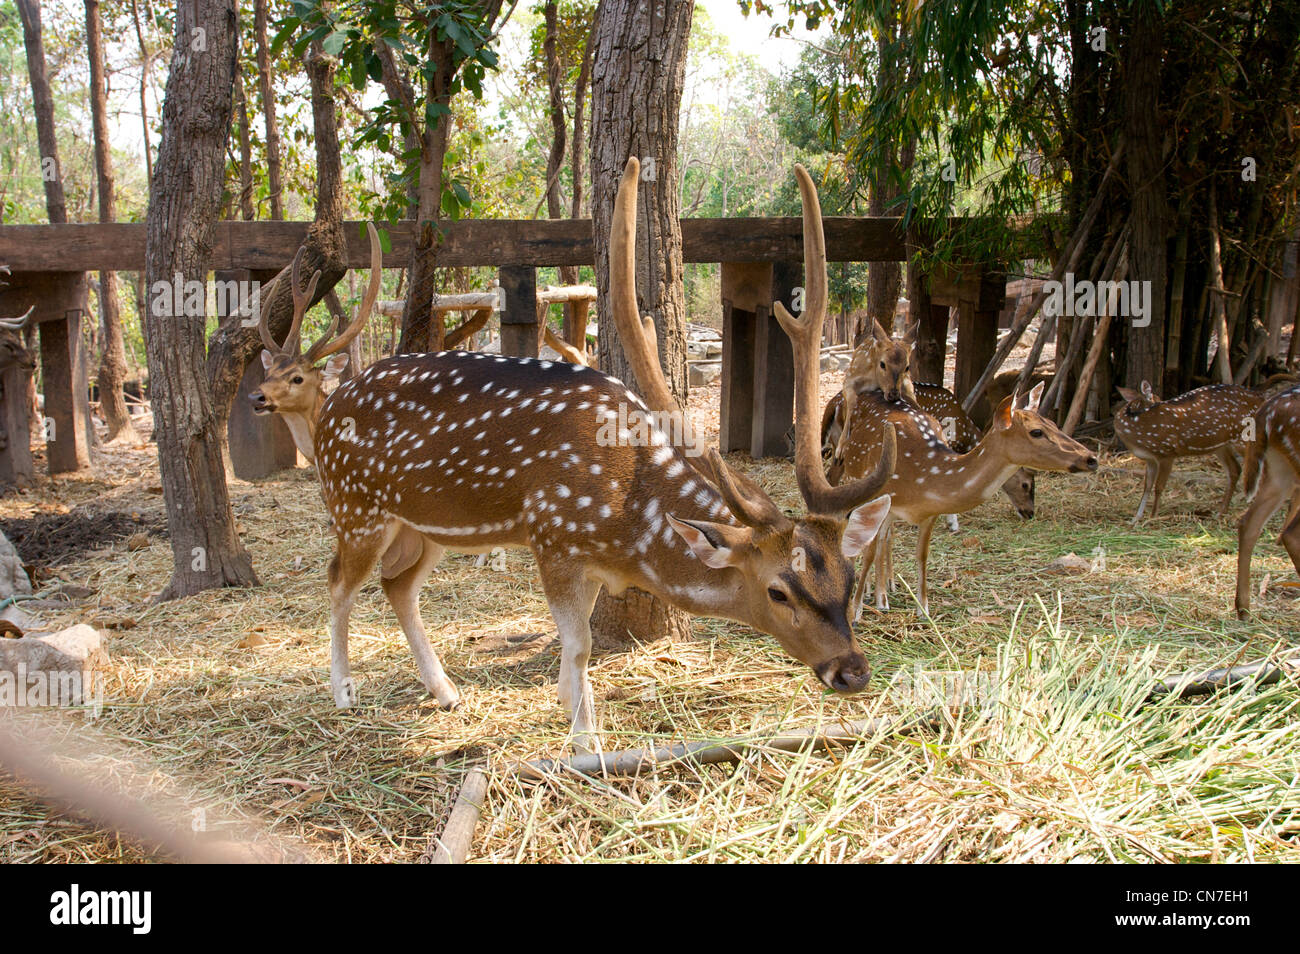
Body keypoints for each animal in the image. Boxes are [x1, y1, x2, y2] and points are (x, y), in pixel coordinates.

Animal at [310, 160, 897, 753]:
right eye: (778, 591)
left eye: (848, 578)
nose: (853, 671)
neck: (624, 526)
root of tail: (329, 404)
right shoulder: (554, 539)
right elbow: (581, 647)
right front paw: (583, 744)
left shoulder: (584, 557)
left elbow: (579, 652)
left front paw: (570, 707)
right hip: (354, 506)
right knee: (338, 580)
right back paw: (343, 691)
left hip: (425, 524)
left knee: (397, 585)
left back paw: (447, 691)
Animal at [832, 381, 1097, 618]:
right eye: (1037, 432)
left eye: (1052, 423)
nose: (1091, 458)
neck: (922, 479)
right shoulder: (880, 499)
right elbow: (868, 551)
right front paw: (856, 612)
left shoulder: (929, 514)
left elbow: (921, 555)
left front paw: (923, 610)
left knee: (886, 539)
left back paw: (883, 594)